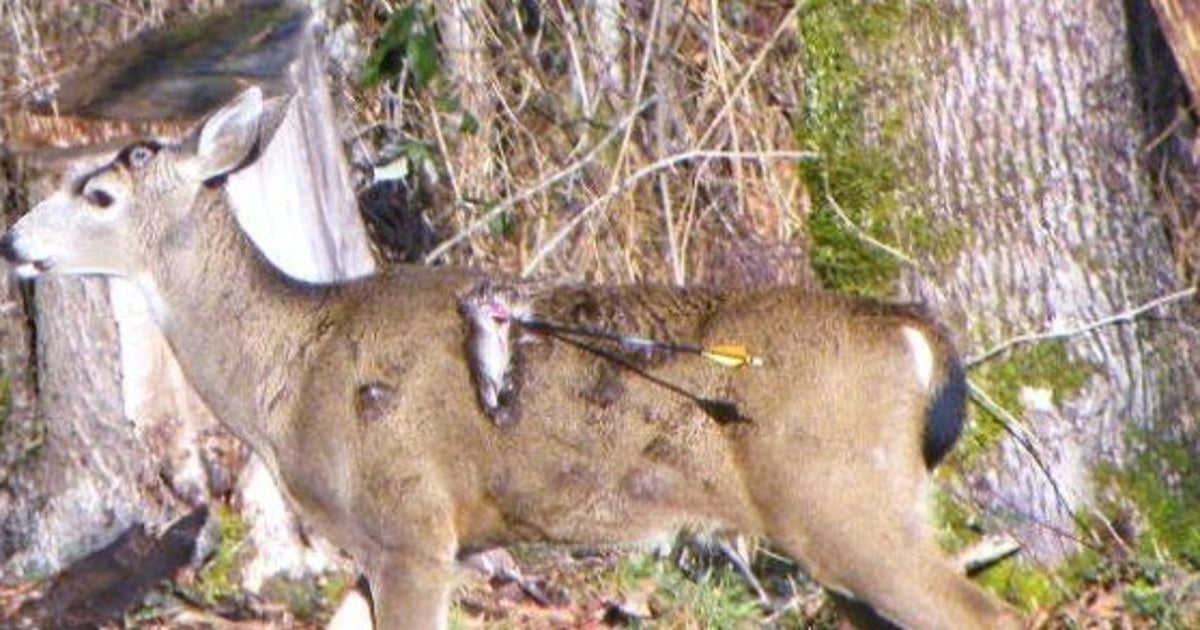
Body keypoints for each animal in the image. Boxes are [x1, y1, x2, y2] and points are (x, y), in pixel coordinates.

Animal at [0, 87, 1024, 630]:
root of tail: (919, 340)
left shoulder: (412, 524)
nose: (13, 240)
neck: (290, 369)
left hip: (846, 497)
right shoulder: (384, 545)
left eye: (97, 193)